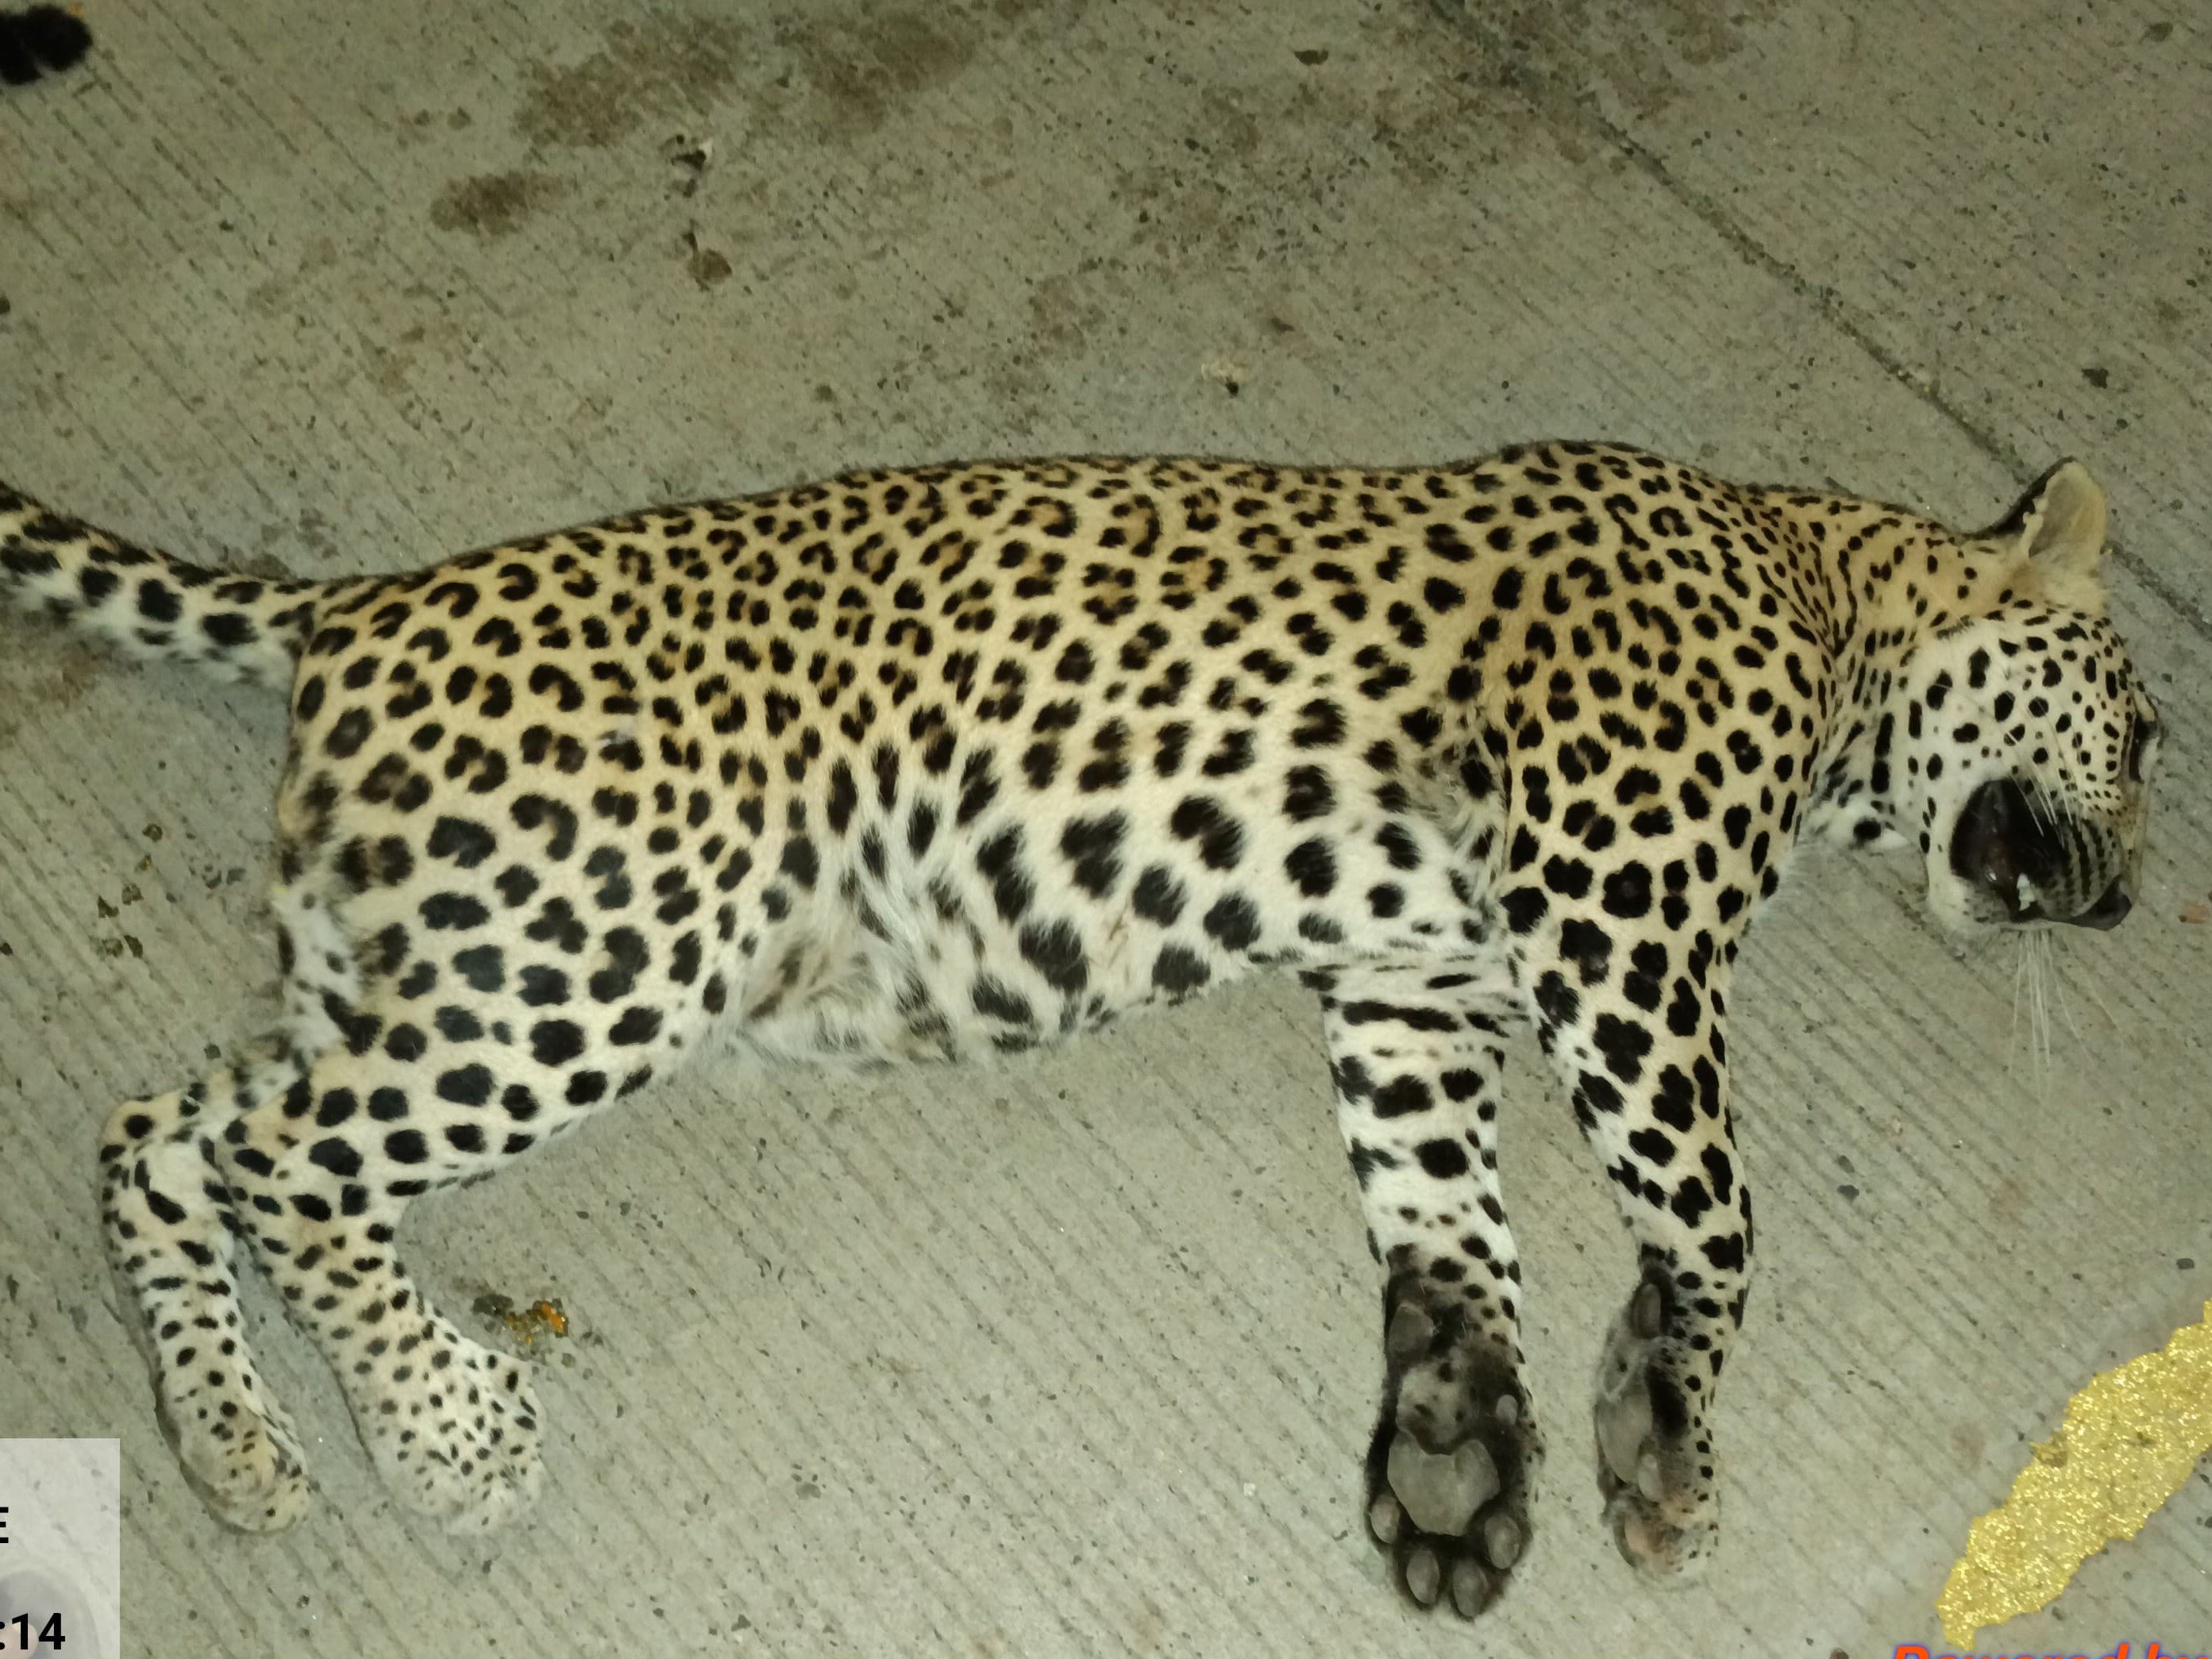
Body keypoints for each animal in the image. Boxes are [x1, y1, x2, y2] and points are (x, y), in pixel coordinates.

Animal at [0, 441, 2159, 1619]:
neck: (1828, 609)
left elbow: (1451, 1238)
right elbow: (1716, 1216)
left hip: (420, 961)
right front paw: (1661, 1445)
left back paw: (237, 1443)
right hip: (599, 950)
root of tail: (350, 606)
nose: (2132, 905)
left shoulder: (1413, 989)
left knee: (160, 1125)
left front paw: (1458, 1466)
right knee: (279, 1159)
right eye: (2145, 736)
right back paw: (444, 1435)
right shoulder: (1613, 921)